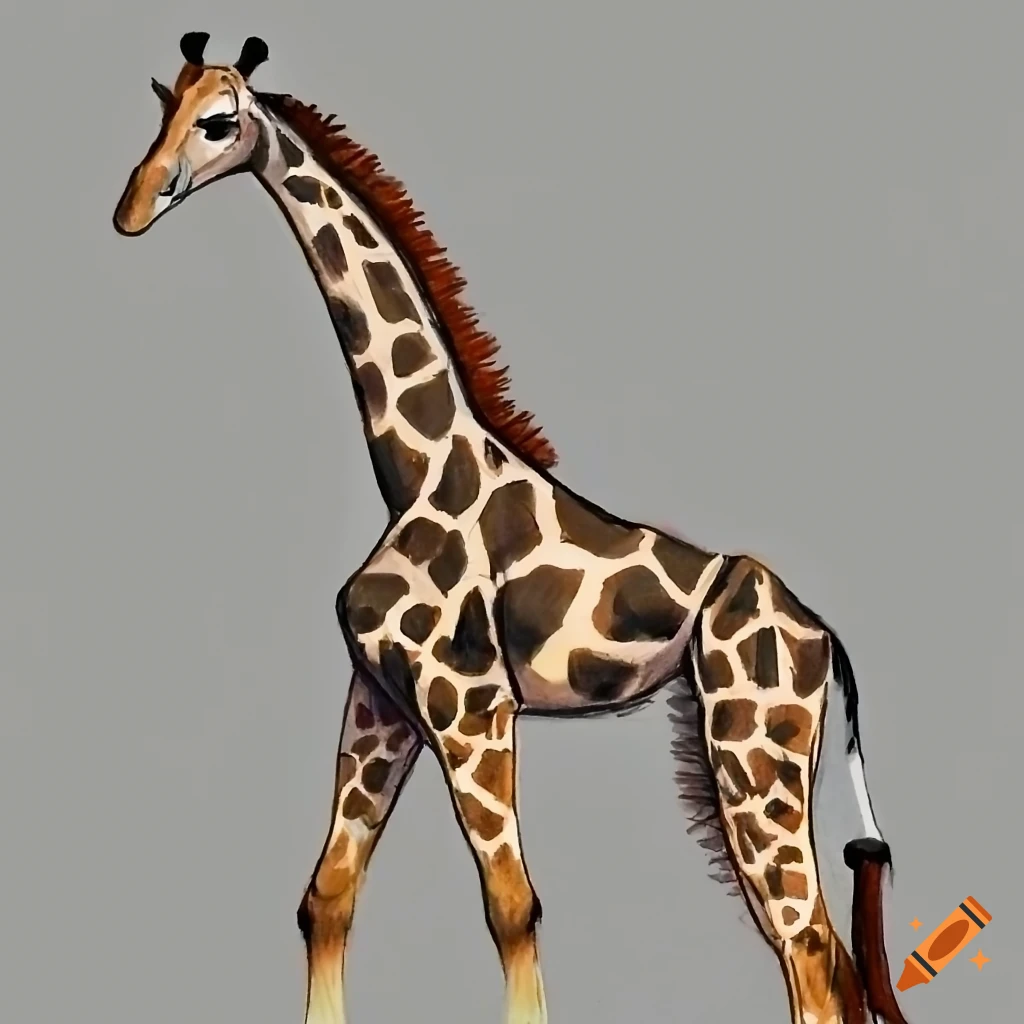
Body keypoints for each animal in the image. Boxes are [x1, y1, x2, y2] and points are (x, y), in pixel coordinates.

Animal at [112, 34, 912, 1024]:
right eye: (163, 109)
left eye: (220, 121)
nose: (134, 207)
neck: (414, 470)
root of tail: (826, 639)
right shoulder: (382, 698)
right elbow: (326, 897)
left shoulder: (471, 706)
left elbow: (511, 907)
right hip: (755, 754)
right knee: (823, 950)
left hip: (752, 745)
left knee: (803, 940)